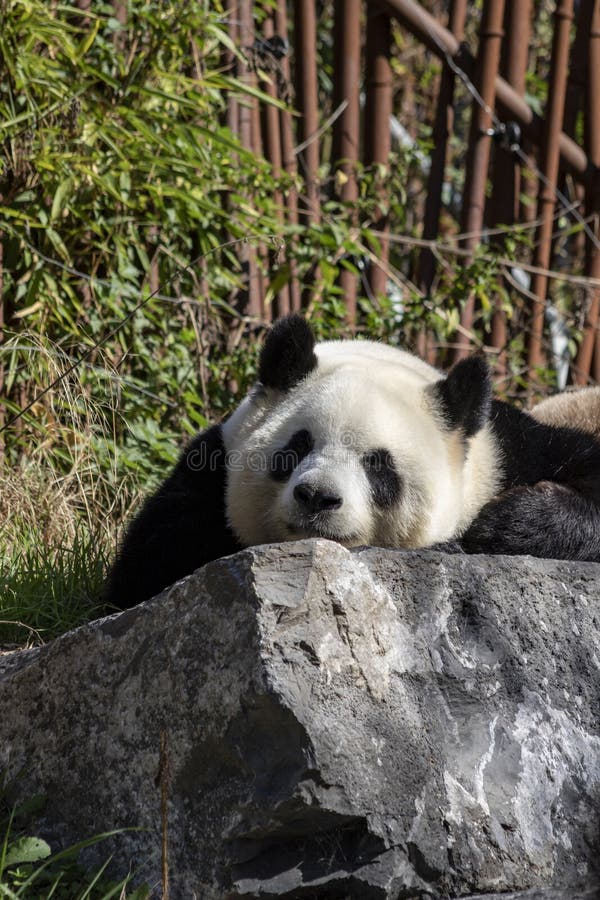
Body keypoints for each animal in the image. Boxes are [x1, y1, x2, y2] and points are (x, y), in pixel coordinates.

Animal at [104, 314, 600, 610]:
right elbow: (149, 564)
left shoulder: (510, 449)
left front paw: (502, 525)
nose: (317, 497)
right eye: (297, 447)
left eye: (379, 465)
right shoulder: (210, 473)